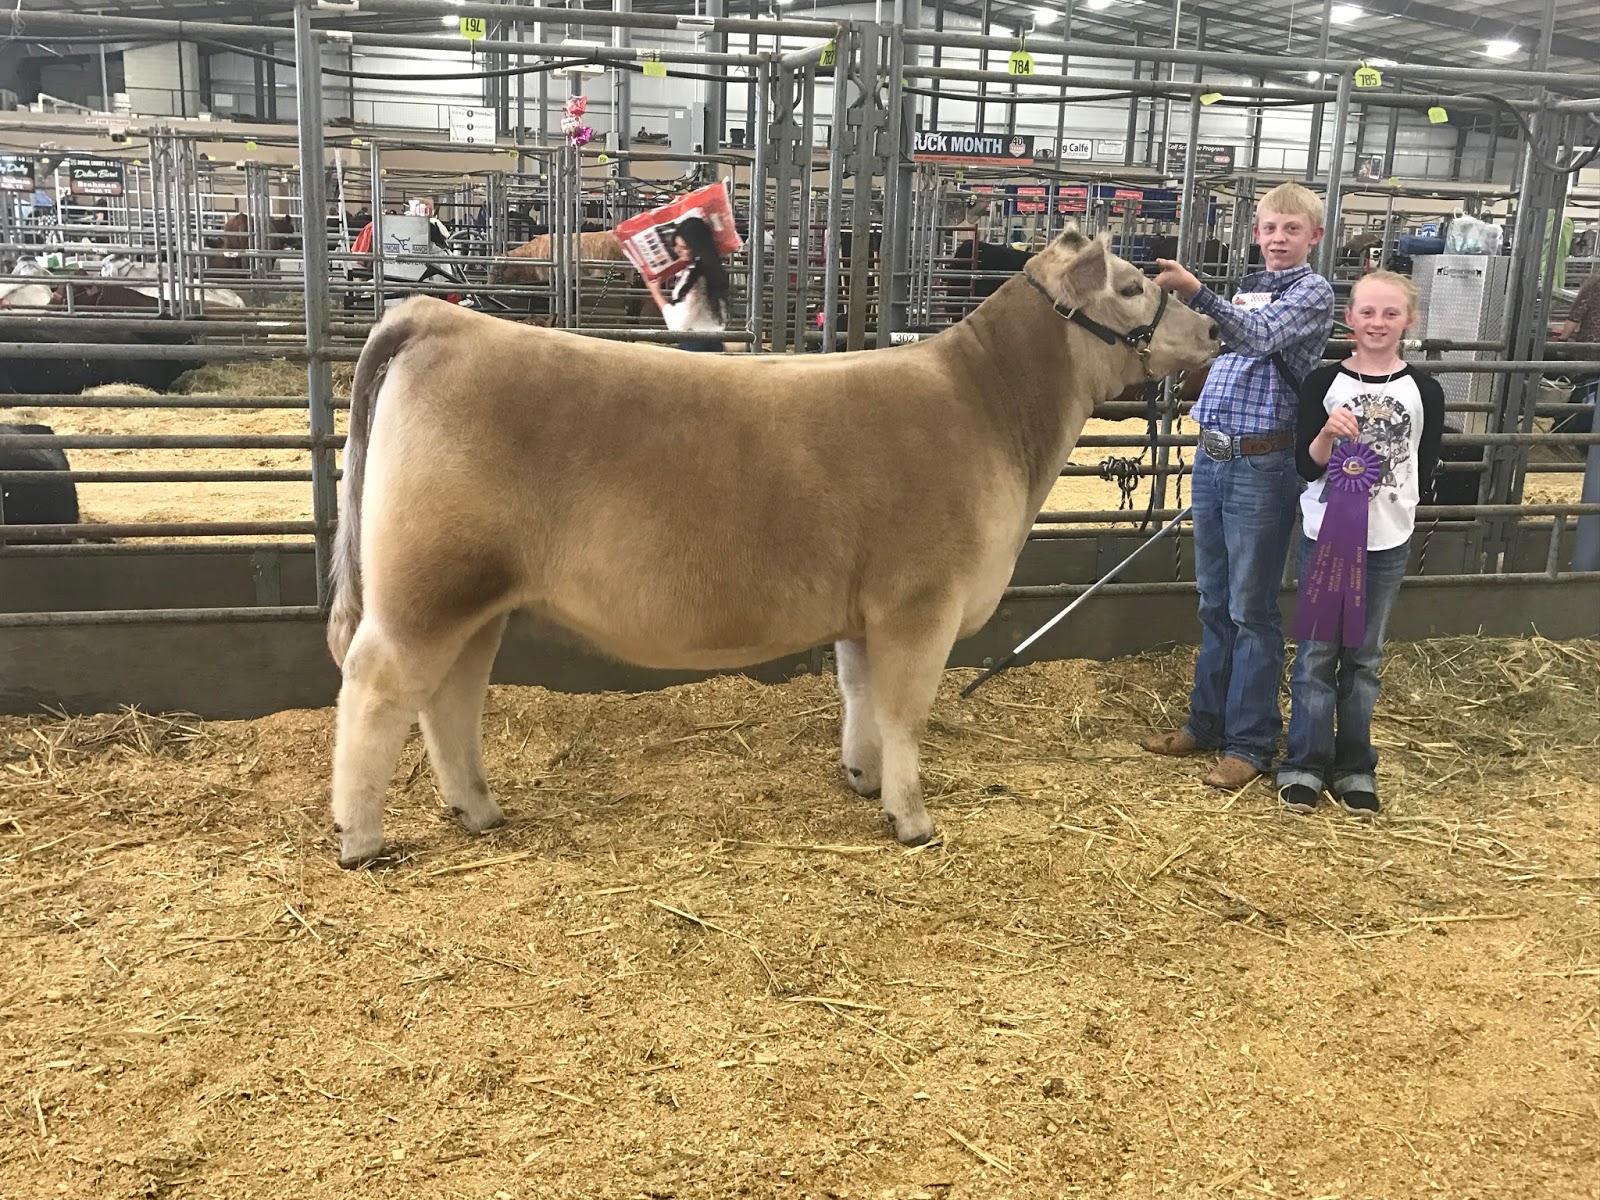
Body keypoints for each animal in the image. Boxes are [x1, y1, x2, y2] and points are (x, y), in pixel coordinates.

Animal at [322, 228, 1219, 867]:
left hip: (476, 595)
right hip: (428, 589)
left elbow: (860, 698)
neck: (988, 406)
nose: (1212, 323)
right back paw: (360, 839)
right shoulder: (919, 602)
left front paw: (862, 779)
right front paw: (913, 818)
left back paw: (476, 809)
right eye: (1132, 286)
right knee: (376, 689)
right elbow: (904, 711)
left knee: (450, 696)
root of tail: (440, 317)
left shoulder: (866, 609)